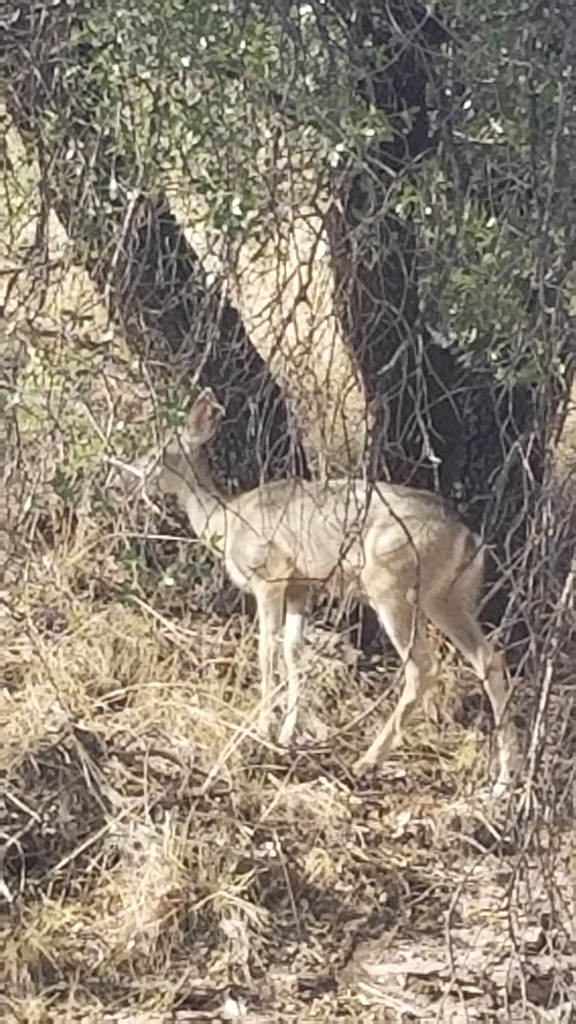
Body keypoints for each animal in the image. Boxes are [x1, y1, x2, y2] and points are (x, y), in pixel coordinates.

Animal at [114, 387, 519, 797]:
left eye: (159, 452)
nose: (121, 482)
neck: (227, 522)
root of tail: (467, 537)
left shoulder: (271, 574)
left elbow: (267, 650)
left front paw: (262, 730)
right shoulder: (302, 586)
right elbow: (294, 652)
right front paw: (288, 734)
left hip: (391, 583)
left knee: (423, 666)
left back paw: (368, 761)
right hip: (449, 598)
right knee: (489, 659)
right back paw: (503, 780)